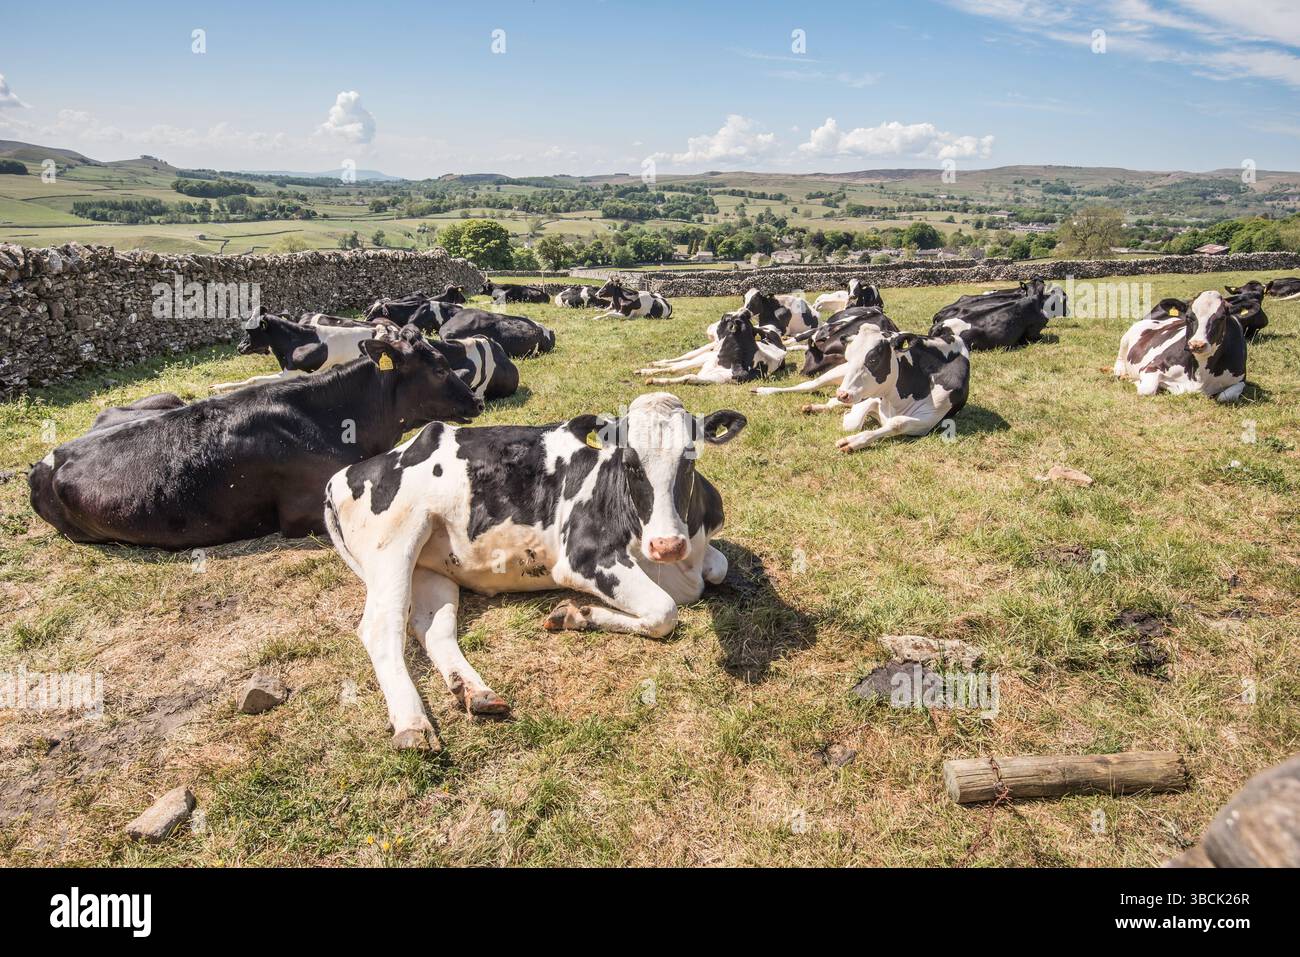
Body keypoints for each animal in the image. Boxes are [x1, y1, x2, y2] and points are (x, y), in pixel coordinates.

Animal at [323, 391, 747, 748]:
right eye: (630, 463)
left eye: (690, 456)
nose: (666, 544)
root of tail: (347, 473)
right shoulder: (583, 557)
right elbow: (664, 611)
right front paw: (578, 613)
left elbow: (719, 567)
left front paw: (577, 614)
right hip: (394, 542)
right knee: (382, 627)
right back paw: (411, 723)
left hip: (432, 569)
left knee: (432, 627)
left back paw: (476, 692)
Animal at [637, 311, 785, 385]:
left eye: (723, 318)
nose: (710, 325)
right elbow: (676, 368)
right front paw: (649, 373)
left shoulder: (717, 379)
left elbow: (688, 377)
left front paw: (655, 380)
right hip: (705, 353)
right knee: (682, 359)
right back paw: (652, 365)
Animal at [800, 325, 970, 452]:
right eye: (848, 357)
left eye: (873, 359)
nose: (843, 394)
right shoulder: (870, 395)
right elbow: (853, 422)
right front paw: (850, 416)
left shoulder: (929, 419)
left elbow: (897, 424)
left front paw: (853, 441)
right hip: (839, 373)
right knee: (812, 384)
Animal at [1113, 291, 1246, 402]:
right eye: (1188, 316)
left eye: (1221, 318)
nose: (1197, 344)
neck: (1200, 374)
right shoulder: (1151, 366)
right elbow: (1146, 390)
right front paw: (1135, 381)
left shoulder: (1241, 379)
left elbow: (1224, 397)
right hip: (1126, 338)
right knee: (1120, 358)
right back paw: (1120, 372)